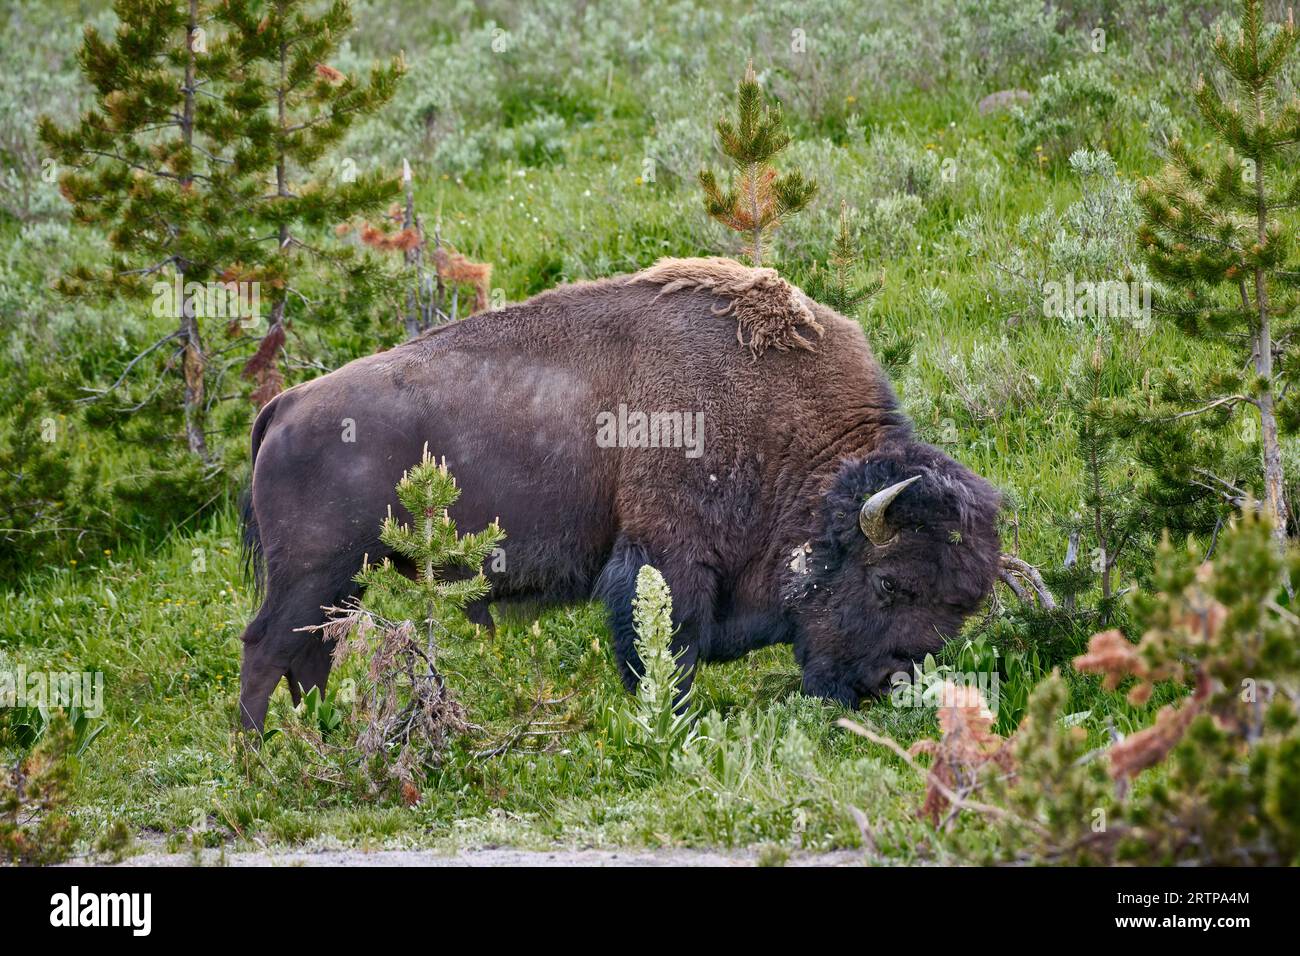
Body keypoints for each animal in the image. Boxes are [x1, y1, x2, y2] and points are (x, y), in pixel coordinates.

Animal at [238, 256, 1001, 729]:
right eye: (889, 584)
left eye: (960, 608)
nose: (886, 684)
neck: (789, 437)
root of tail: (288, 403)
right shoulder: (667, 555)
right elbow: (664, 645)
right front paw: (667, 717)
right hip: (312, 571)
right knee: (268, 648)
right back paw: (259, 755)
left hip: (342, 580)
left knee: (311, 653)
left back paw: (320, 735)